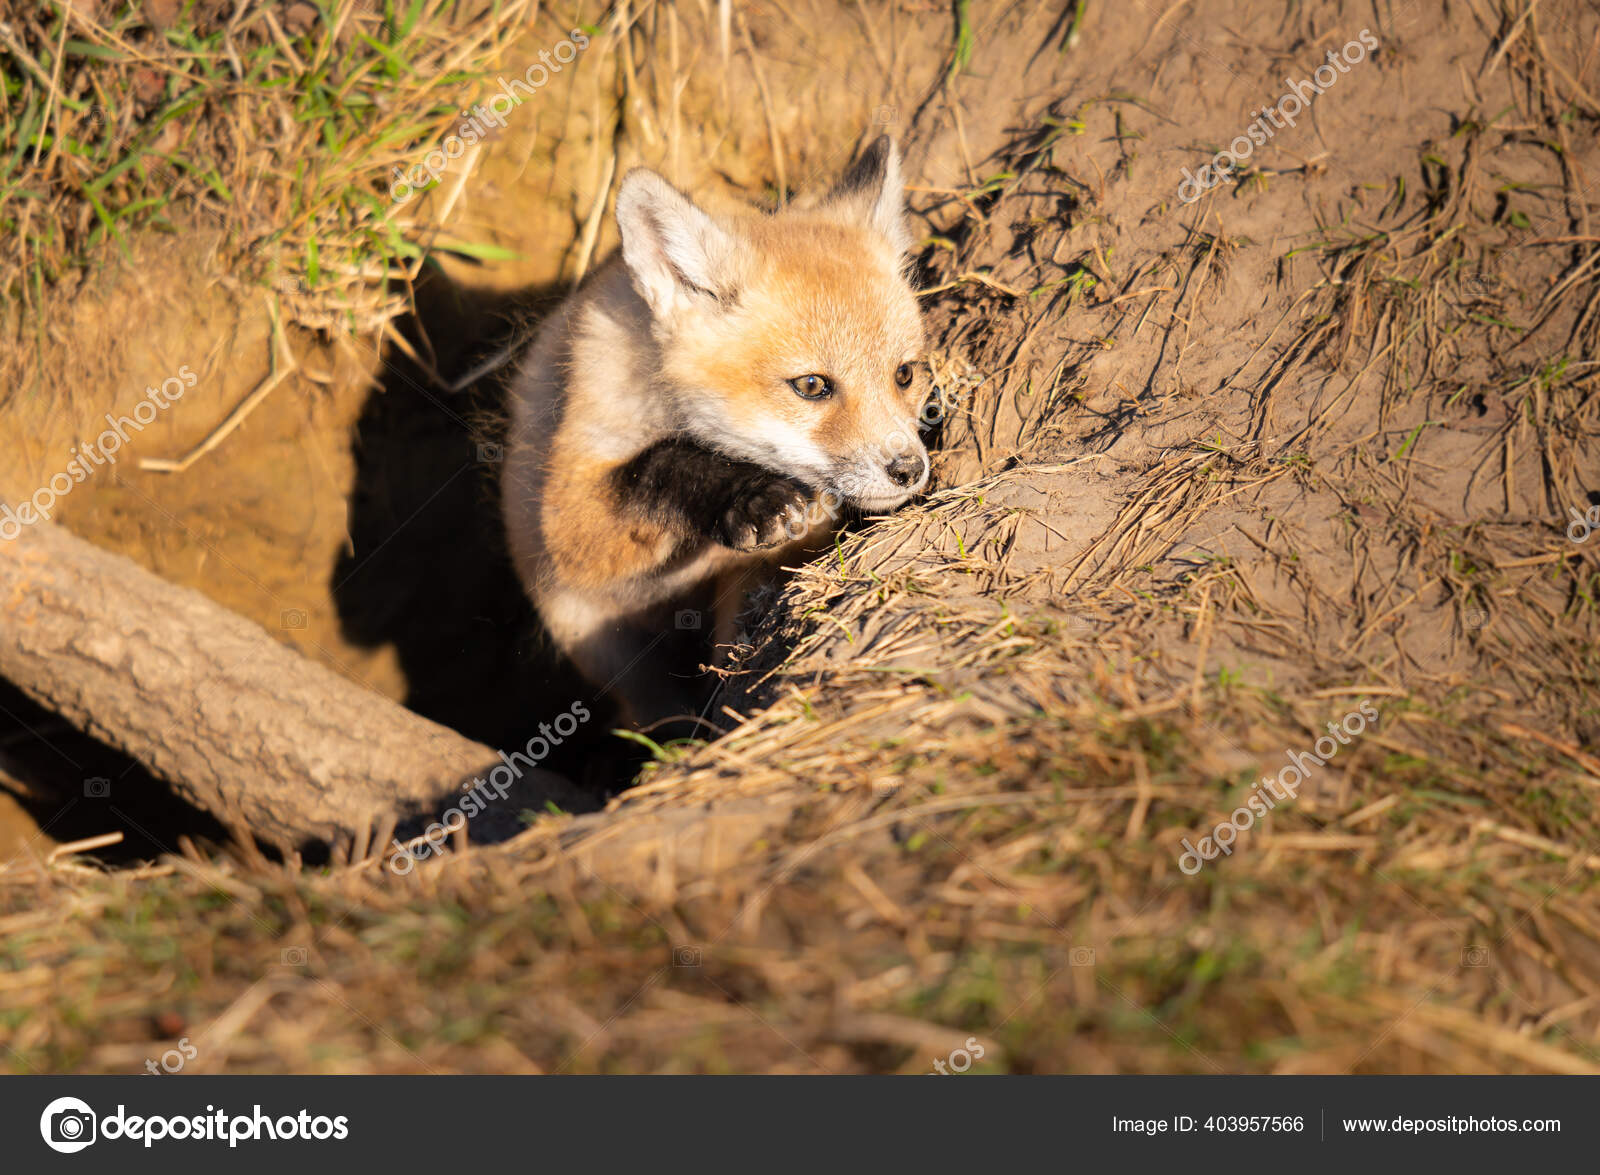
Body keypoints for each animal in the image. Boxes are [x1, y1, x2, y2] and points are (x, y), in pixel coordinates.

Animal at [501, 136, 929, 734]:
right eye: (812, 386)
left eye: (905, 375)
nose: (909, 470)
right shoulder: (568, 521)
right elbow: (659, 463)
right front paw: (747, 495)